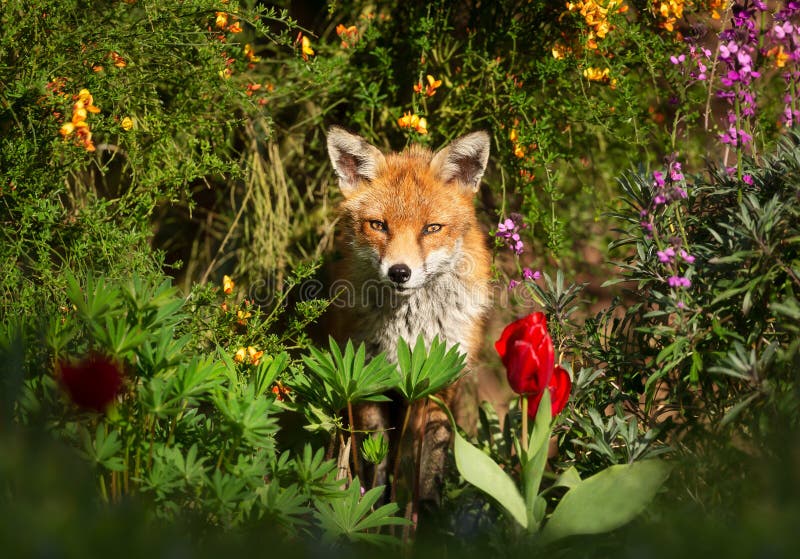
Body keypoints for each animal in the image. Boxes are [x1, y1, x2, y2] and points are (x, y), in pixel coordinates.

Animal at [326, 127, 492, 505]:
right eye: (378, 225)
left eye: (431, 228)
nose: (399, 273)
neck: (411, 329)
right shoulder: (365, 380)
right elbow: (375, 464)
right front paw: (371, 508)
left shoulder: (438, 382)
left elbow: (423, 466)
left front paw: (421, 512)